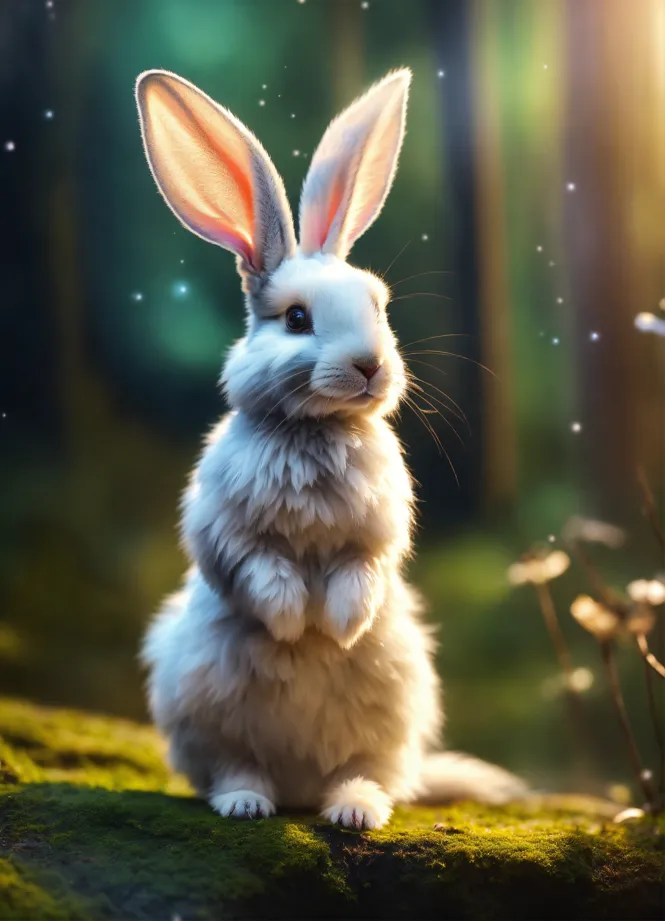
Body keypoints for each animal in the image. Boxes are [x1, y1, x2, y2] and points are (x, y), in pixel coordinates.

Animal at [136, 67, 527, 830]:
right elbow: (259, 568)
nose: (369, 365)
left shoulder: (376, 535)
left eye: (378, 305)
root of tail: (297, 788)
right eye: (295, 318)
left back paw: (353, 810)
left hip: (391, 713)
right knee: (234, 766)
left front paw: (339, 628)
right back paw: (247, 803)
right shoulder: (228, 532)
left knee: (364, 774)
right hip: (204, 708)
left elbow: (360, 571)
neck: (315, 429)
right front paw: (294, 626)